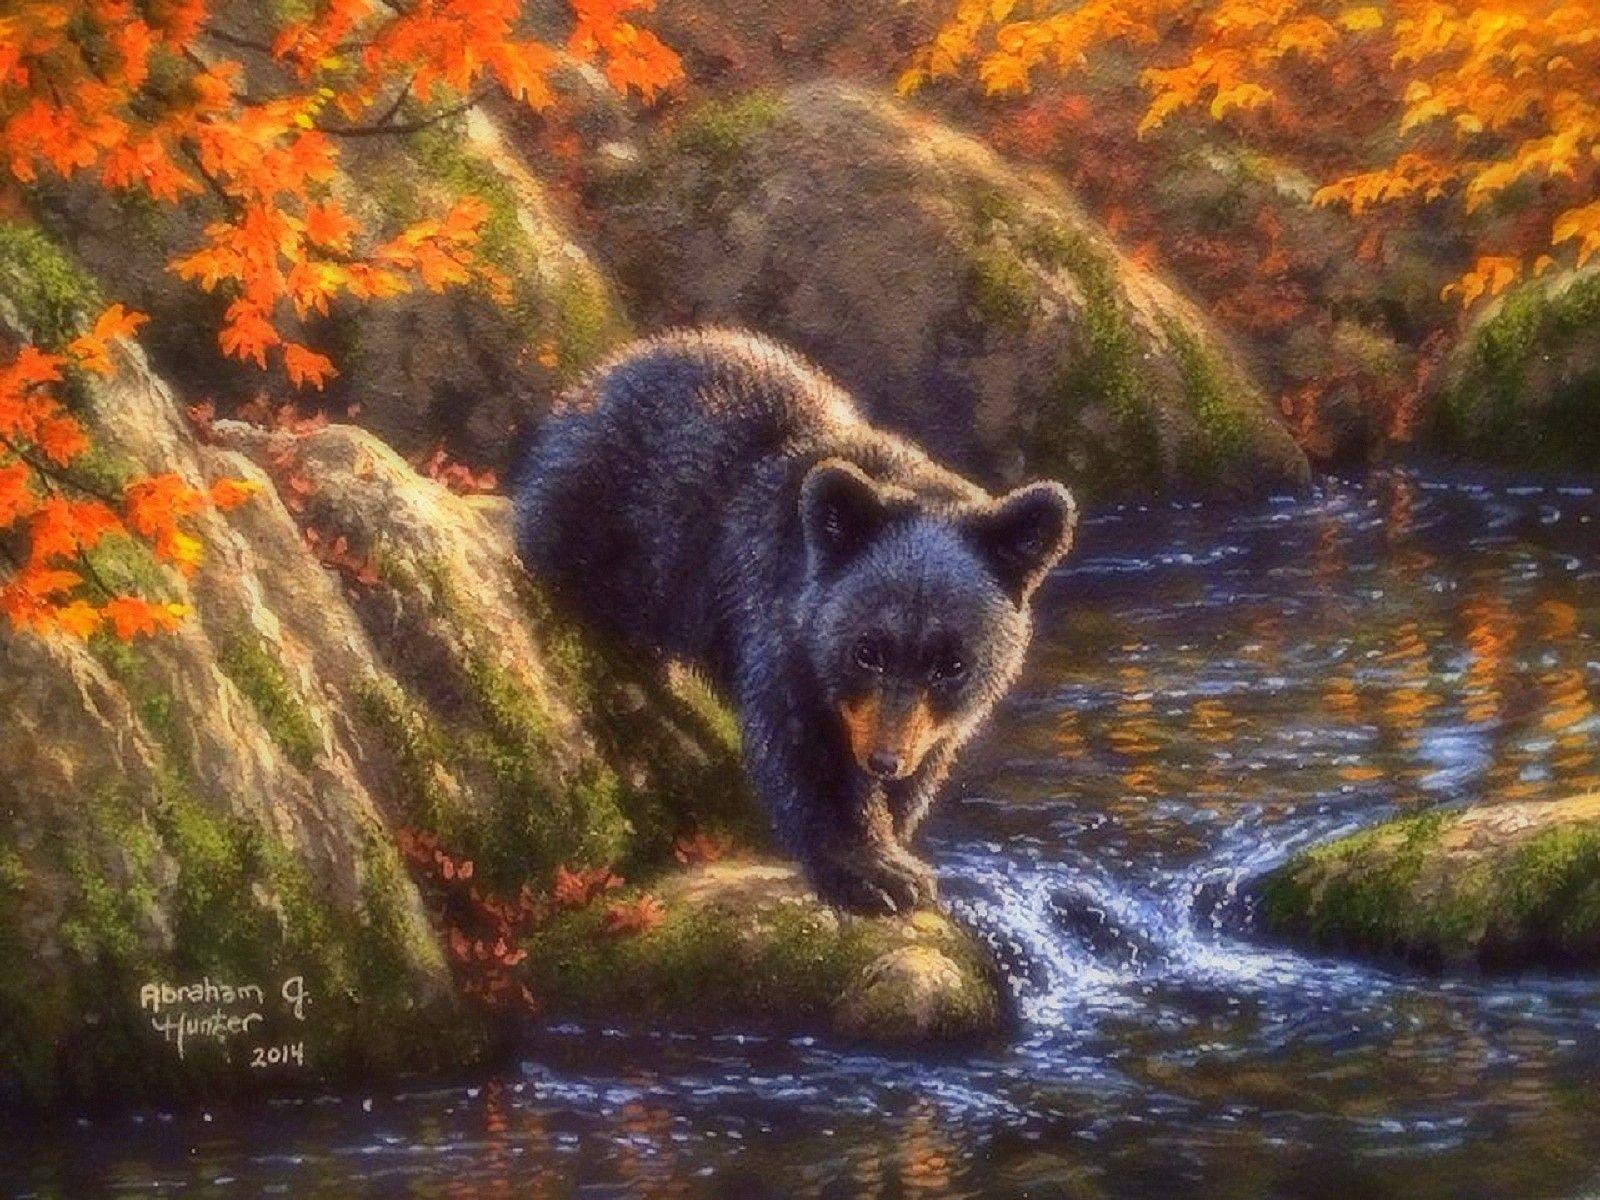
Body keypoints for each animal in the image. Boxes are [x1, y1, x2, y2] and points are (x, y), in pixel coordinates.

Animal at [514, 329, 1077, 915]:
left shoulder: (931, 722)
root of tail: (599, 378)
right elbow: (804, 753)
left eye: (952, 663)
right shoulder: (775, 627)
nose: (884, 759)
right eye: (866, 650)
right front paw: (875, 871)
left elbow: (924, 761)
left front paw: (893, 835)